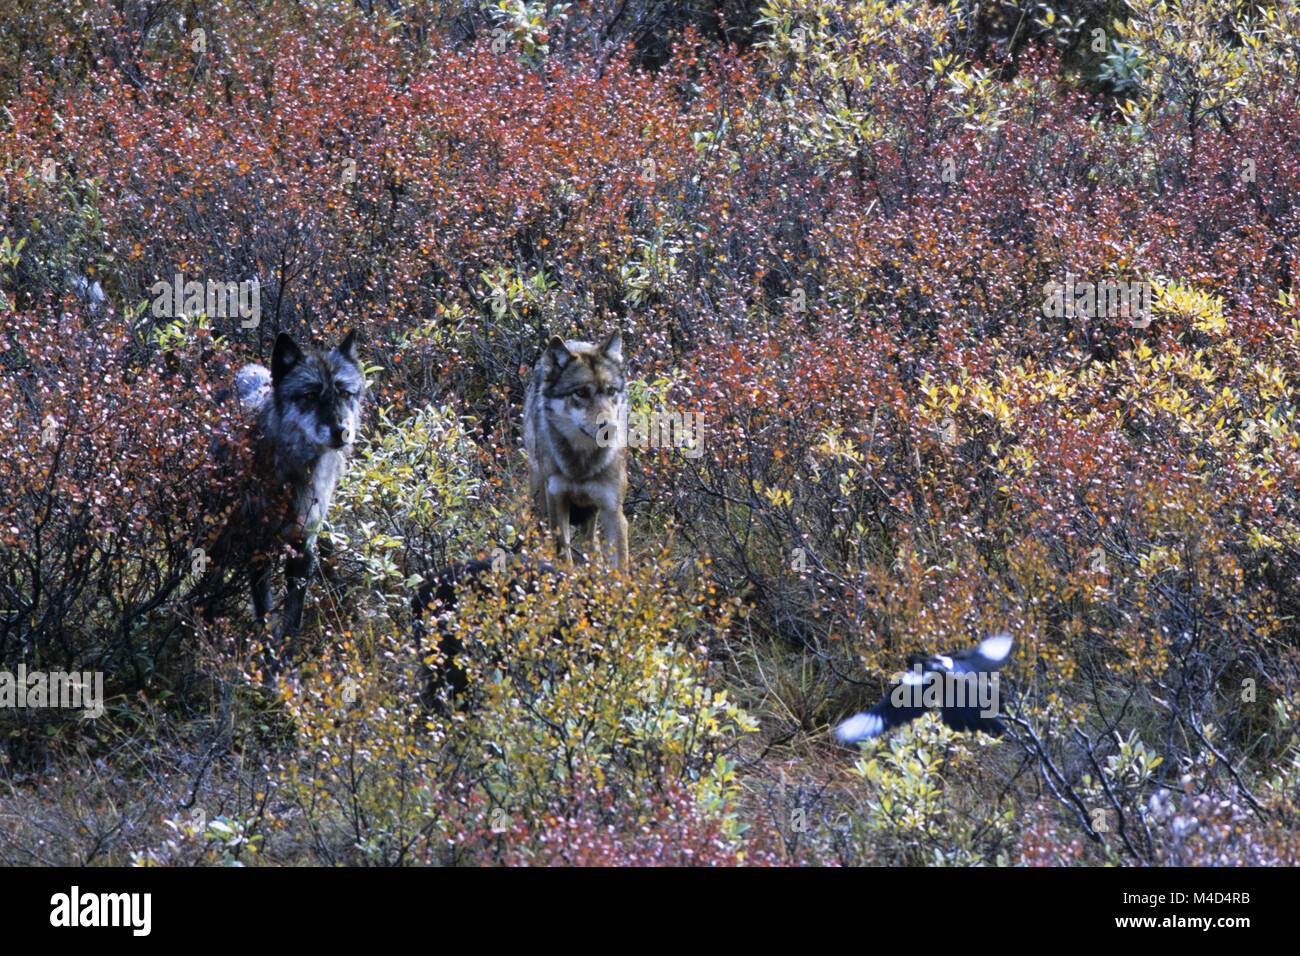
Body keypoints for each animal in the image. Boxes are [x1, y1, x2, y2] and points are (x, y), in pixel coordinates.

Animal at [232, 330, 365, 640]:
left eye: (345, 393)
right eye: (310, 395)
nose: (343, 432)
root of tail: (250, 368)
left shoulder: (303, 548)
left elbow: (293, 619)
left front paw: (288, 652)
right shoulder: (257, 549)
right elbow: (267, 615)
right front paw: (271, 652)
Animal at [522, 332, 629, 569]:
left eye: (611, 391)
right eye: (580, 392)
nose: (610, 427)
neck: (582, 465)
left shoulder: (613, 511)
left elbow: (620, 569)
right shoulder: (557, 498)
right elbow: (564, 553)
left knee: (592, 542)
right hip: (539, 499)